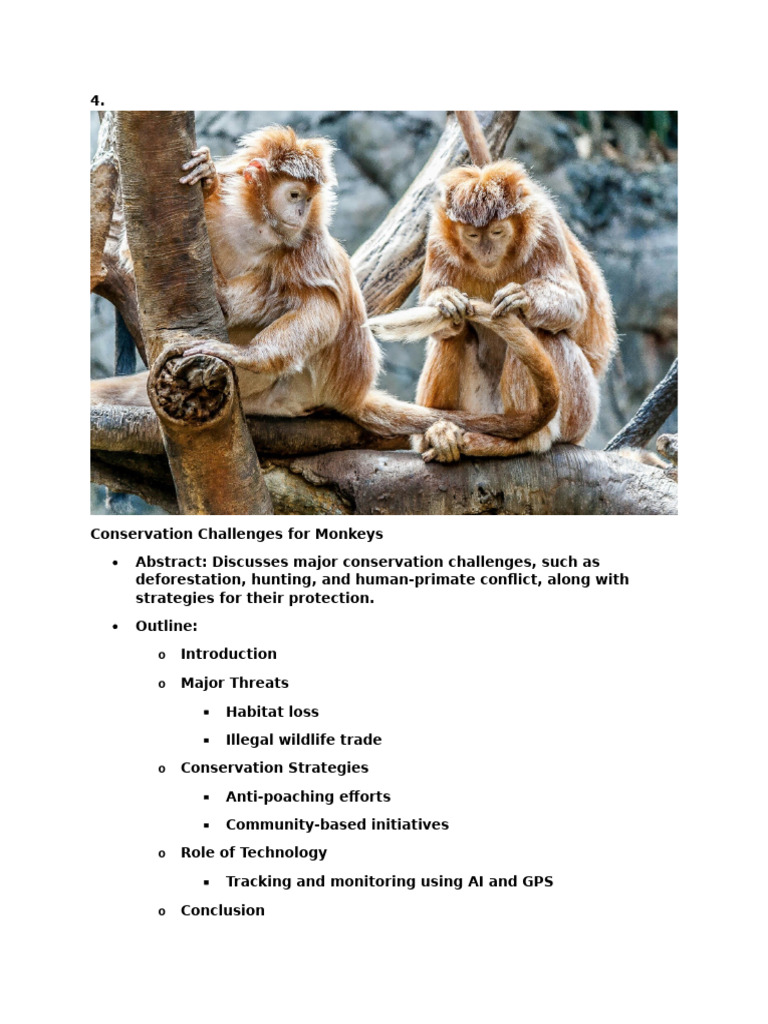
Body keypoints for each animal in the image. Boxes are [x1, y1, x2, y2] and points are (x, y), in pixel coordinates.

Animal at [91, 127, 558, 447]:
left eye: (308, 198)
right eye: (294, 194)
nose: (301, 212)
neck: (258, 226)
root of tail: (353, 393)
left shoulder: (307, 241)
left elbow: (322, 307)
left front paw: (243, 353)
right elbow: (138, 251)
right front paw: (205, 179)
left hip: (311, 382)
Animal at [367, 158, 617, 461]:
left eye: (498, 232)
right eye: (473, 235)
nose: (486, 250)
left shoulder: (545, 226)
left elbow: (575, 307)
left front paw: (523, 298)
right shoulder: (437, 237)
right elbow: (441, 319)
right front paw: (445, 300)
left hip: (580, 410)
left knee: (542, 332)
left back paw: (529, 437)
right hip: (479, 408)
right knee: (454, 333)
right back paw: (438, 433)